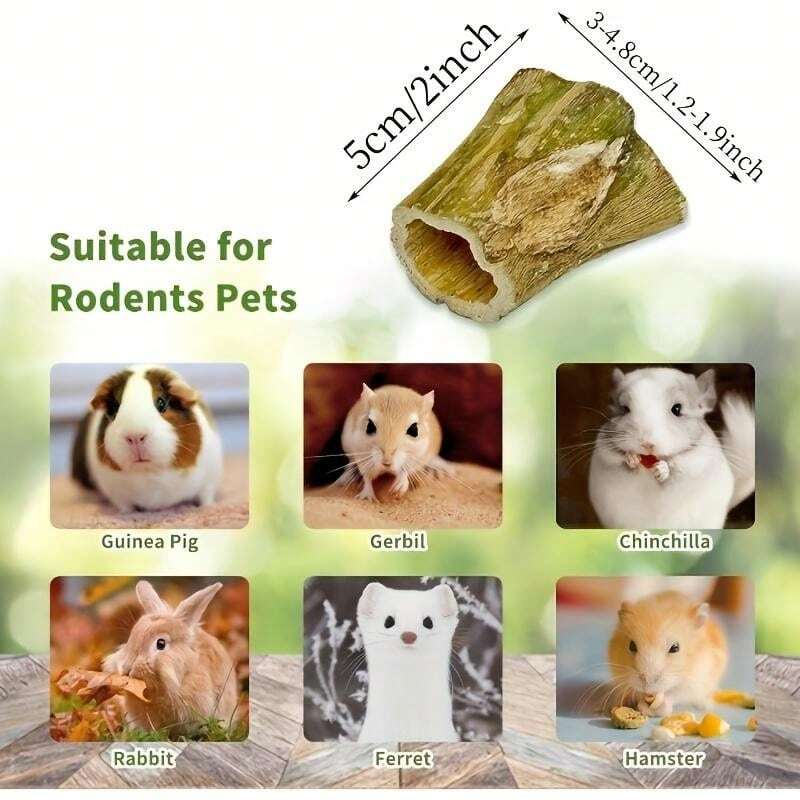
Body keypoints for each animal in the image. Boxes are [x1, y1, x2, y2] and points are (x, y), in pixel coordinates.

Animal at [71, 365, 223, 512]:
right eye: (114, 408)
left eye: (161, 403)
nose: (135, 436)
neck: (149, 472)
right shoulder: (117, 495)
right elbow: (125, 507)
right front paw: (126, 514)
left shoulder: (209, 481)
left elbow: (205, 497)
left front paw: (208, 508)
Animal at [588, 367, 755, 529]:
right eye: (624, 409)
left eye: (677, 409)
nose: (647, 444)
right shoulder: (604, 450)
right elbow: (616, 456)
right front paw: (632, 459)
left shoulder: (697, 458)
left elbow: (678, 462)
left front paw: (662, 469)